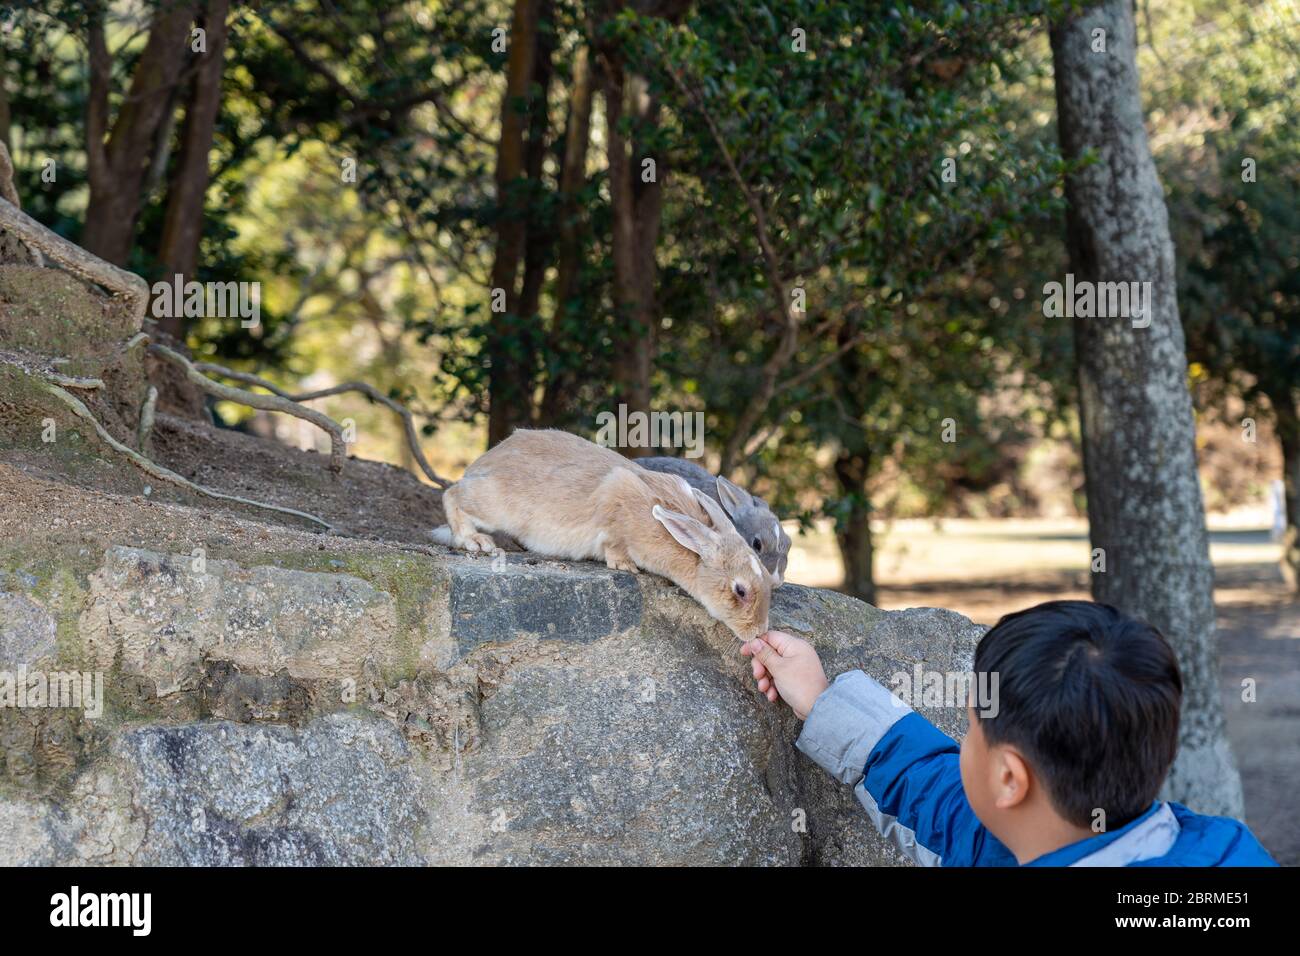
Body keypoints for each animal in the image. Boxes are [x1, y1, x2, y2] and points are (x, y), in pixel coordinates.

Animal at [430, 429, 772, 641]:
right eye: (740, 591)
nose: (760, 632)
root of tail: (485, 461)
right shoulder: (617, 505)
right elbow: (614, 540)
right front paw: (625, 566)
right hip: (492, 504)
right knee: (452, 494)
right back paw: (475, 541)